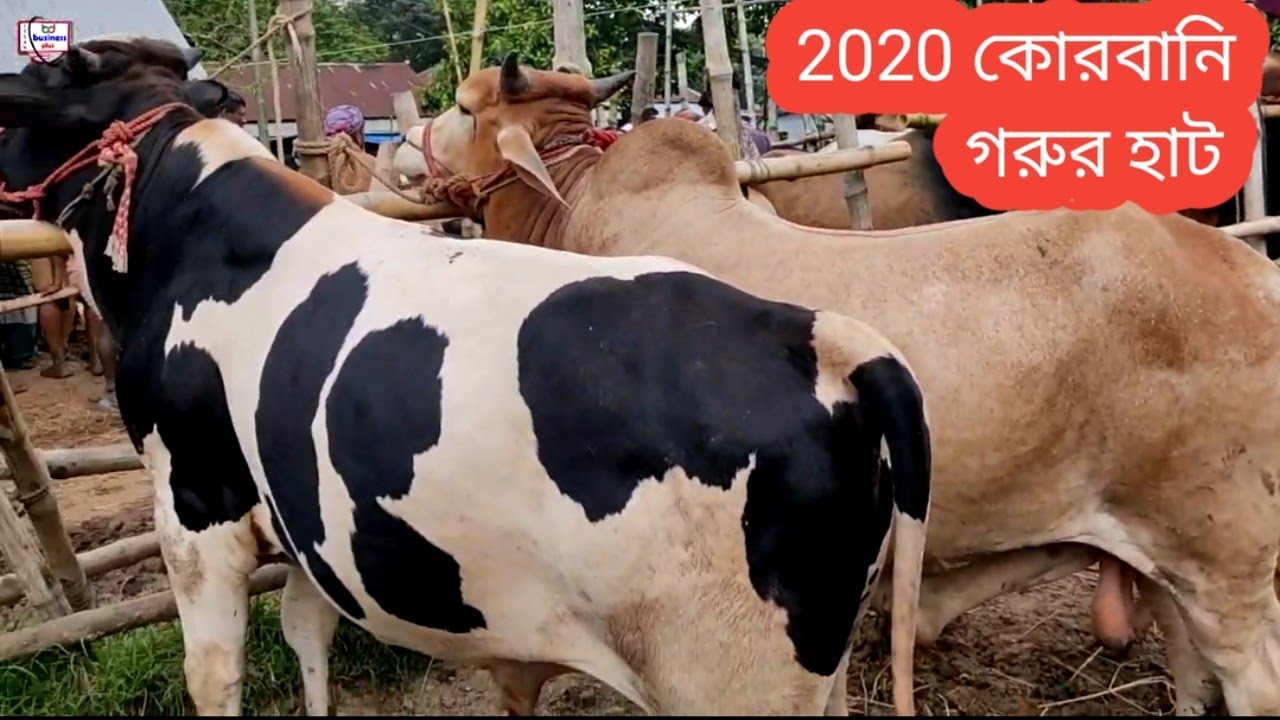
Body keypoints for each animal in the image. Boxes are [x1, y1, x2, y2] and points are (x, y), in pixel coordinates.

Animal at [0, 38, 936, 716]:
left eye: (41, 77)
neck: (194, 238)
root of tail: (831, 340)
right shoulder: (303, 516)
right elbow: (307, 634)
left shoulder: (196, 508)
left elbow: (213, 675)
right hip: (823, 667)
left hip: (730, 681)